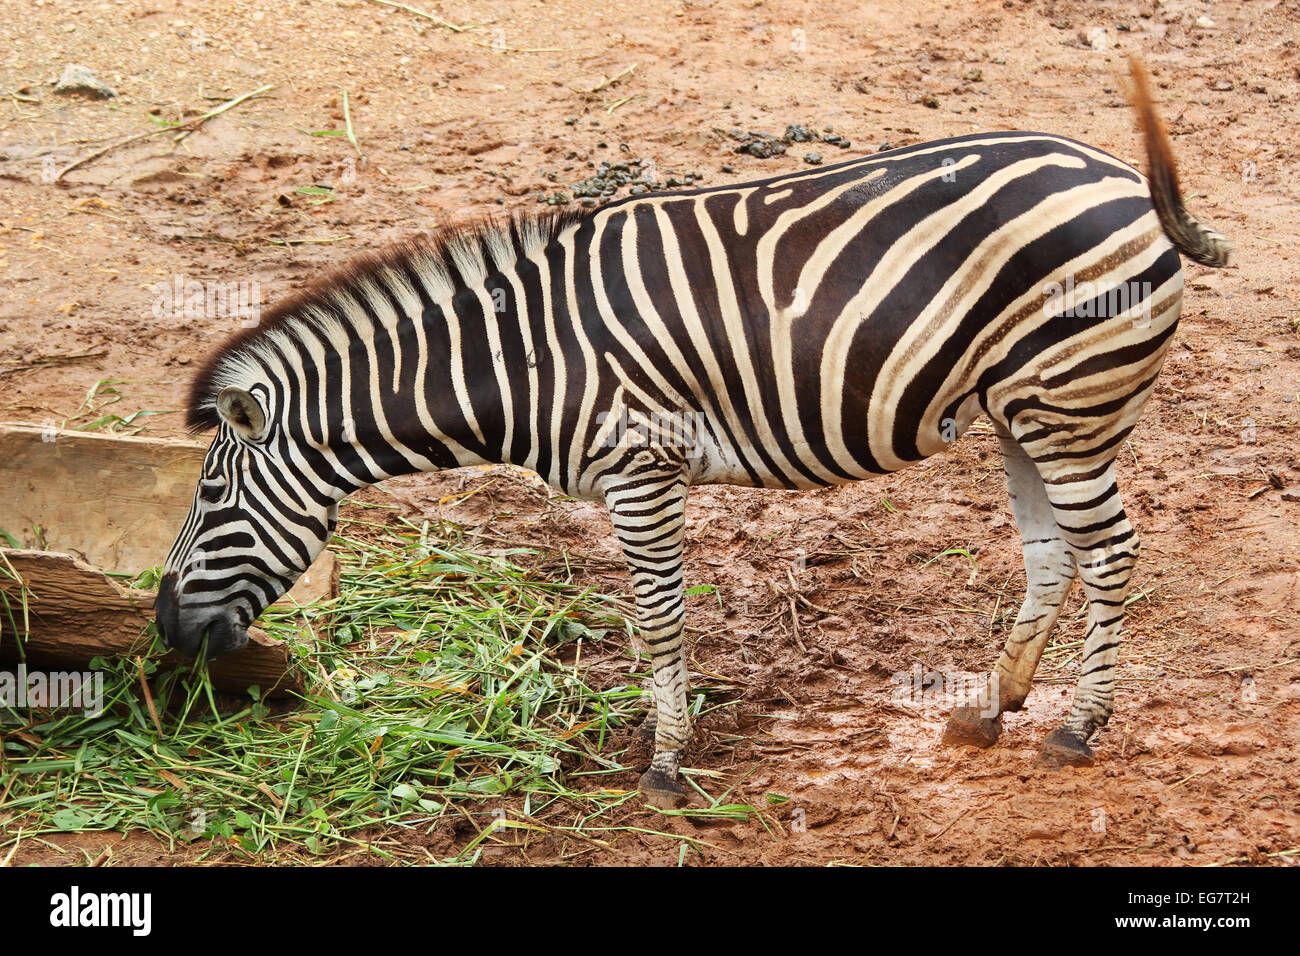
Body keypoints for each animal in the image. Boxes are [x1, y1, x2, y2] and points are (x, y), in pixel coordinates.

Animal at [155, 59, 1232, 807]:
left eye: (209, 496)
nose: (165, 627)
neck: (525, 360)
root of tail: (1123, 178)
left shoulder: (642, 470)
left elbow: (662, 618)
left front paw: (668, 763)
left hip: (1071, 402)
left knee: (1111, 552)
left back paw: (1079, 727)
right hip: (1025, 408)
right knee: (1054, 552)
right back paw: (992, 707)